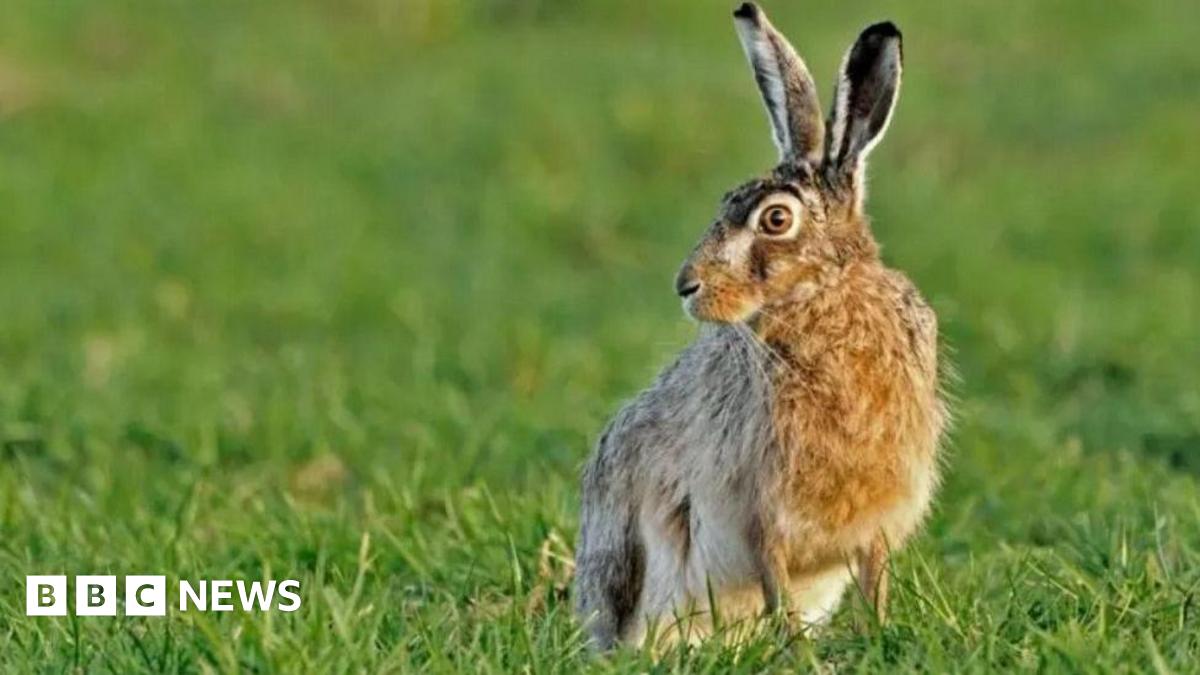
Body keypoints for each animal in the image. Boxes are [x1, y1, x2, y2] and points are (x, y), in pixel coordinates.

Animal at [573, 2, 949, 651]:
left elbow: (873, 579)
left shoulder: (878, 517)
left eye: (776, 219)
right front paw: (795, 650)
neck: (824, 297)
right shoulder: (760, 514)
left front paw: (874, 635)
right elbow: (775, 580)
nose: (686, 285)